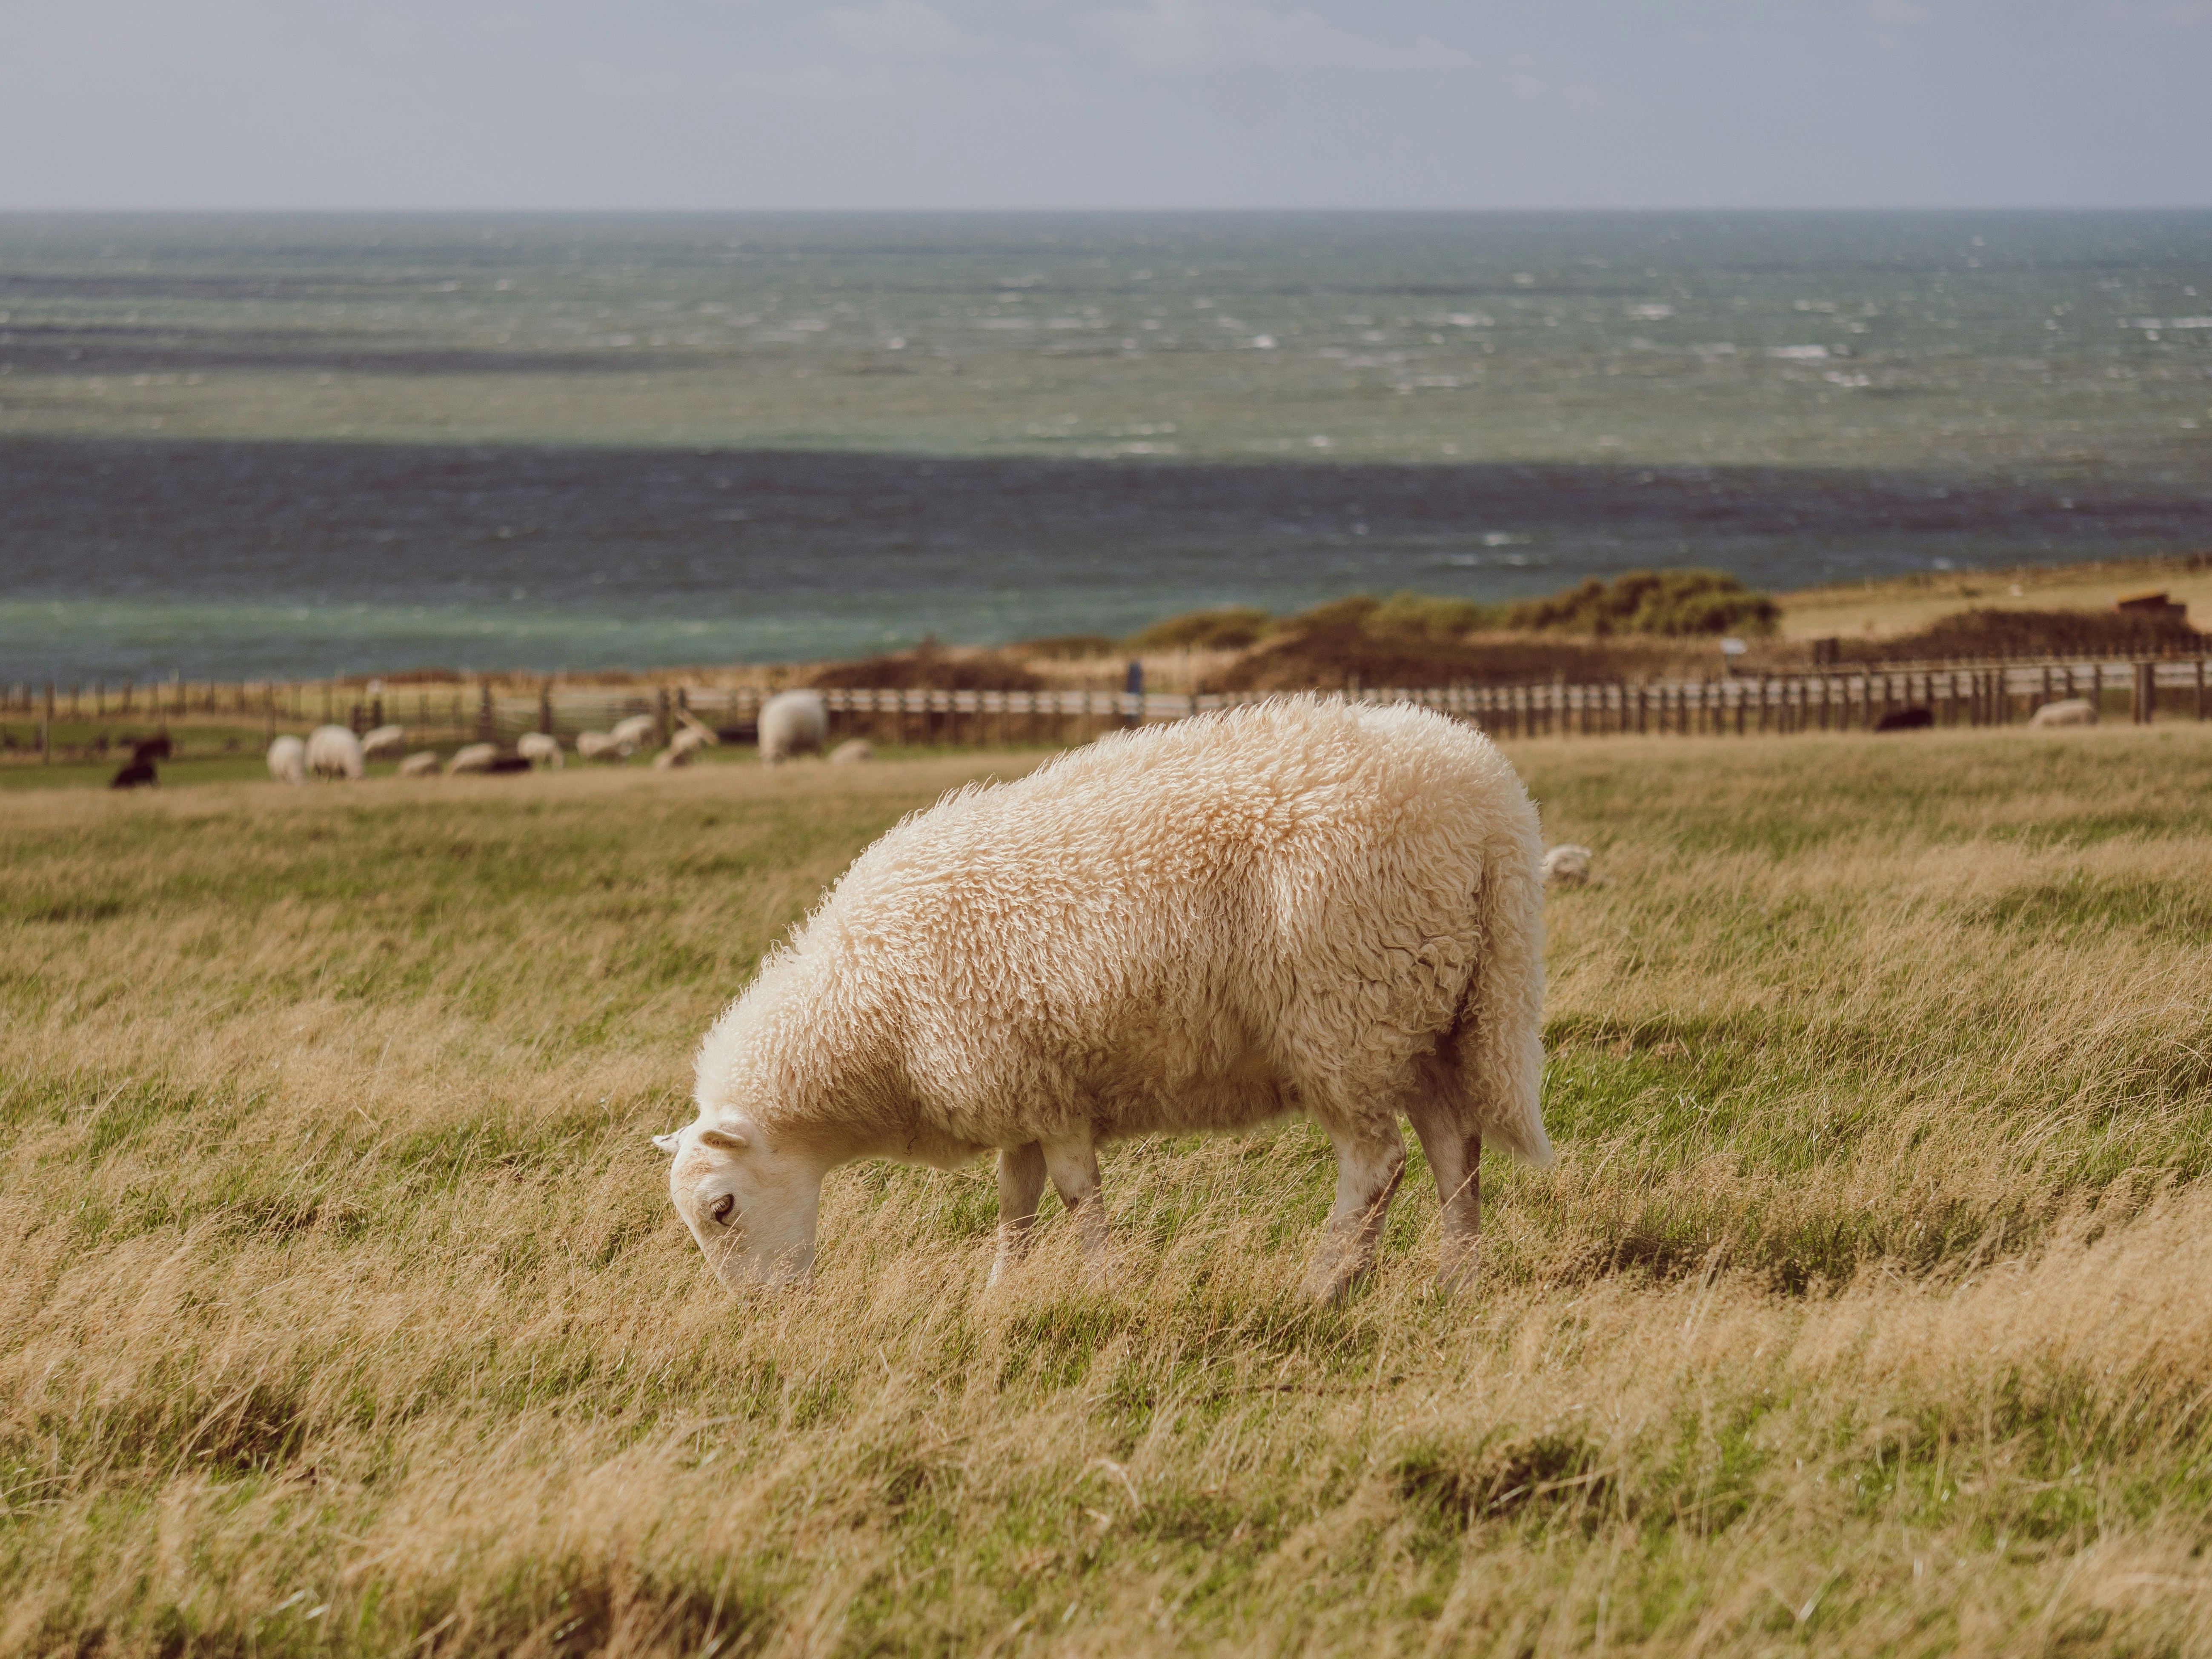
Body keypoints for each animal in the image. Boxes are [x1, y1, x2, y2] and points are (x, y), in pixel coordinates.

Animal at [305, 725, 365, 781]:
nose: (358, 777)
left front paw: (342, 778)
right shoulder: (336, 762)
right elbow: (338, 771)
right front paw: (339, 778)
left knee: (322, 770)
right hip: (313, 761)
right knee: (316, 770)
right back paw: (317, 779)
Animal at [757, 689, 828, 764]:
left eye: (778, 761)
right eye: (769, 762)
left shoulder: (791, 746)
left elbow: (794, 757)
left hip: (817, 738)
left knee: (817, 752)